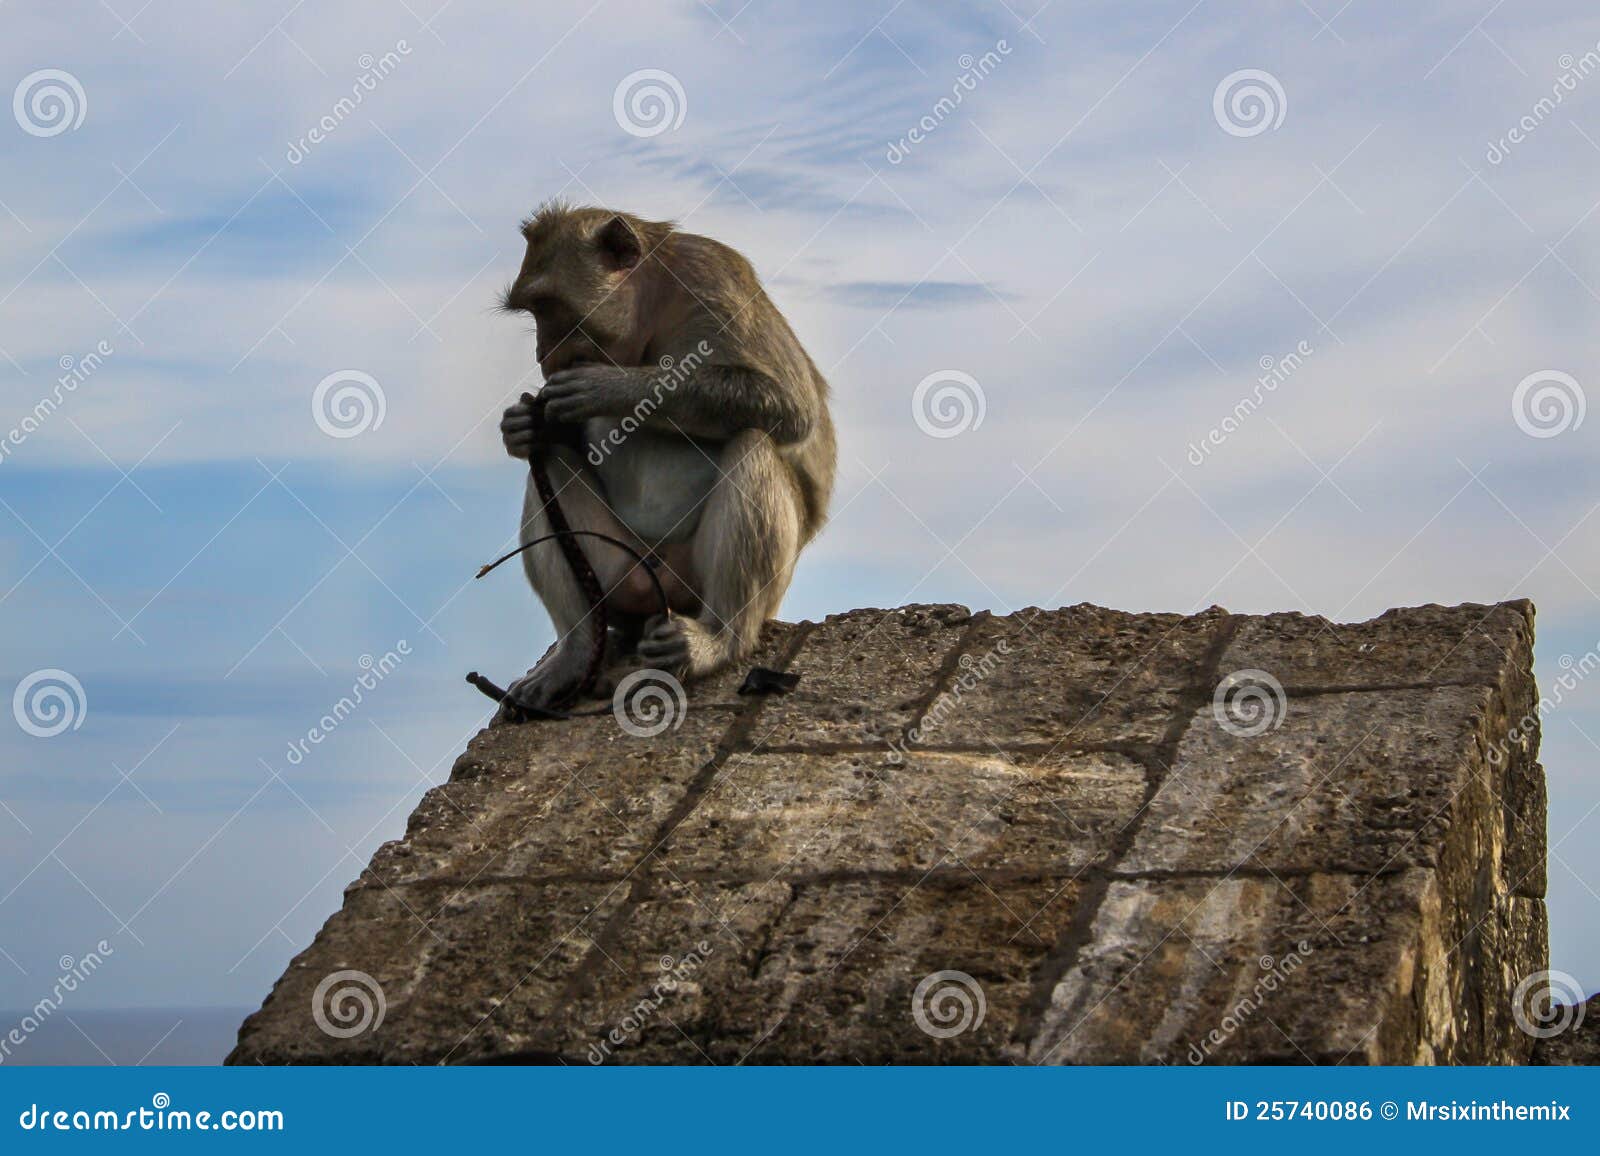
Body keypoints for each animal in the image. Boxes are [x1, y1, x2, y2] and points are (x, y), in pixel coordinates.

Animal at [496, 203, 836, 713]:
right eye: (533, 311)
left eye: (551, 307)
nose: (542, 354)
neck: (652, 317)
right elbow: (551, 438)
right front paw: (523, 426)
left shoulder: (711, 277)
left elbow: (789, 406)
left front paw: (609, 388)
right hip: (620, 576)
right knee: (550, 462)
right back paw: (576, 653)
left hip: (707, 587)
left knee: (752, 443)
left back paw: (719, 640)